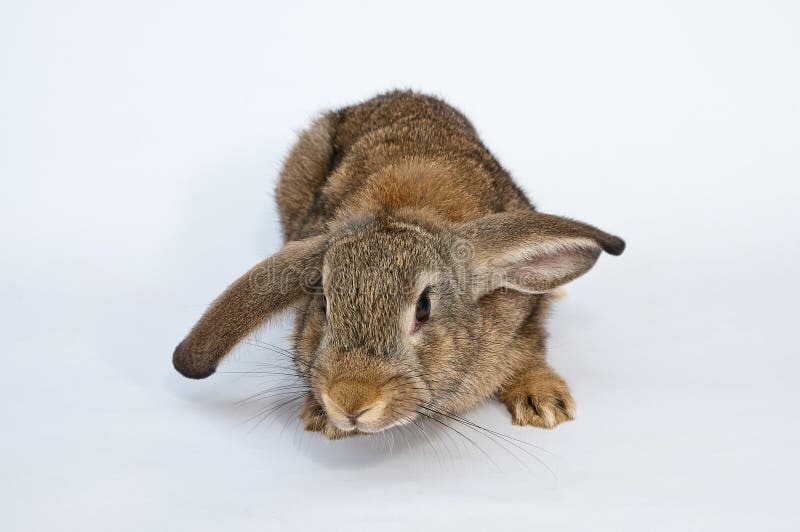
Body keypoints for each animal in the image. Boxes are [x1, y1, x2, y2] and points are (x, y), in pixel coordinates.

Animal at [173, 90, 625, 439]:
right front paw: (321, 418)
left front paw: (544, 404)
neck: (404, 211)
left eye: (423, 309)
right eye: (323, 305)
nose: (351, 401)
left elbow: (532, 348)